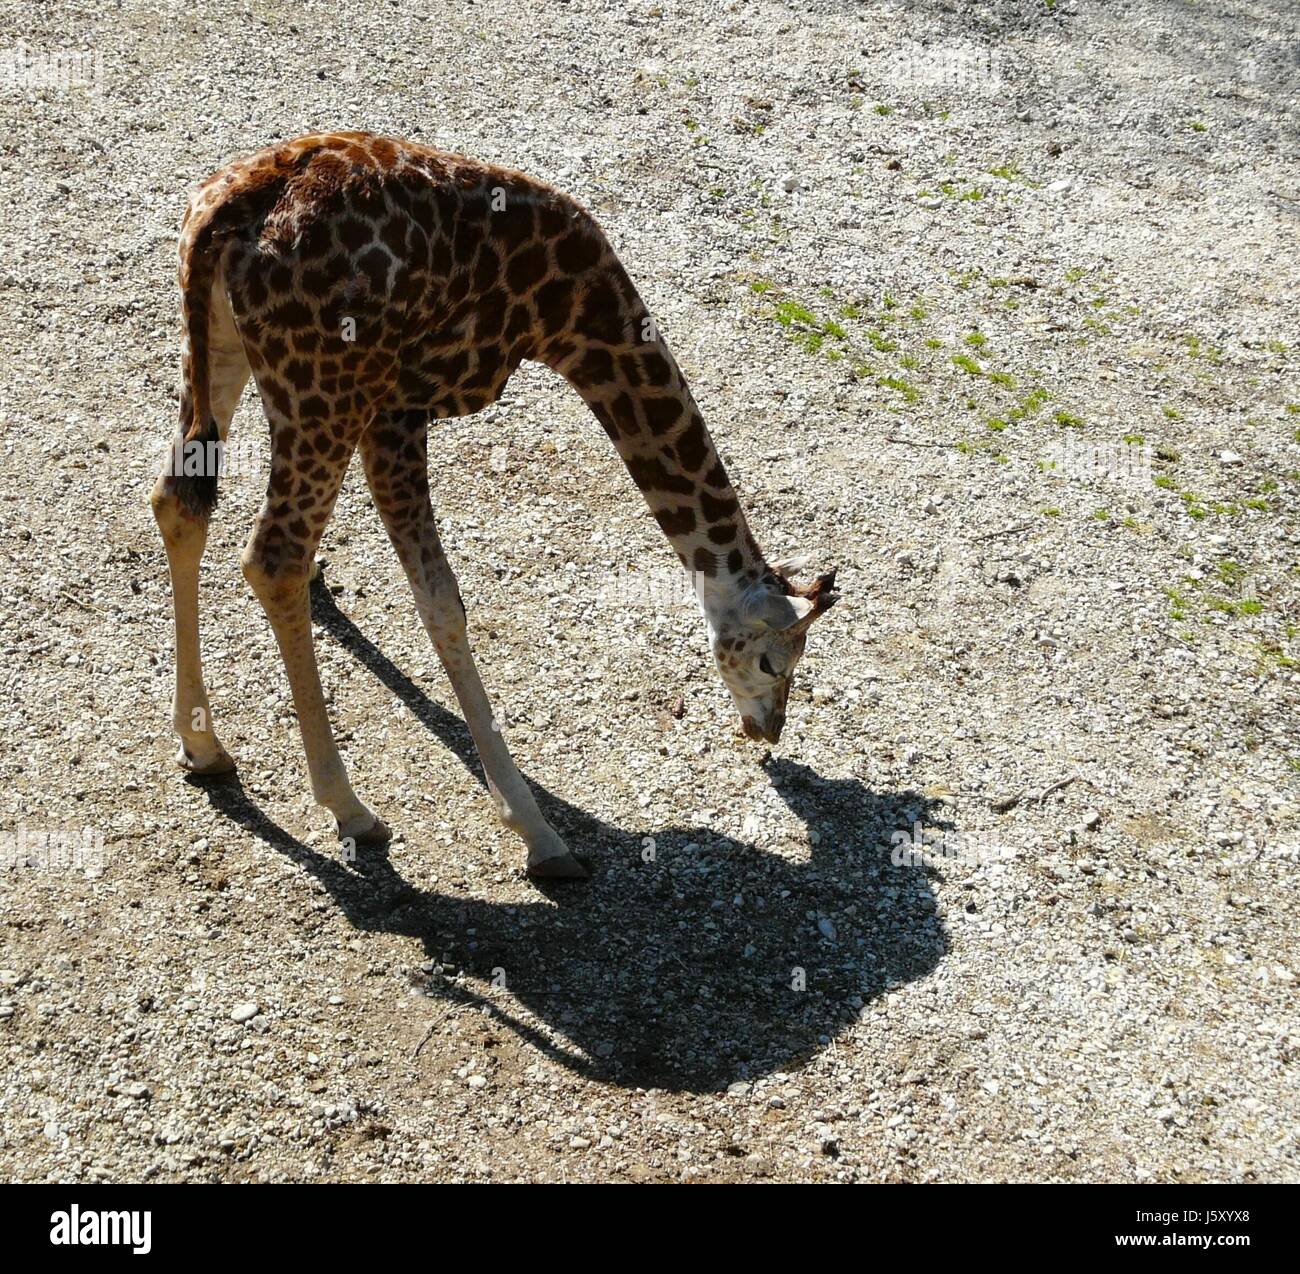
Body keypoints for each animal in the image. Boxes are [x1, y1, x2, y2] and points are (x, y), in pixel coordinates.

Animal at [151, 131, 839, 879]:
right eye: (775, 662)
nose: (767, 728)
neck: (571, 312)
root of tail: (235, 204)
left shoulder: (388, 410)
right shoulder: (400, 407)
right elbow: (442, 602)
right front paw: (539, 833)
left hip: (220, 345)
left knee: (177, 503)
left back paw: (204, 747)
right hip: (323, 389)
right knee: (272, 558)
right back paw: (351, 809)